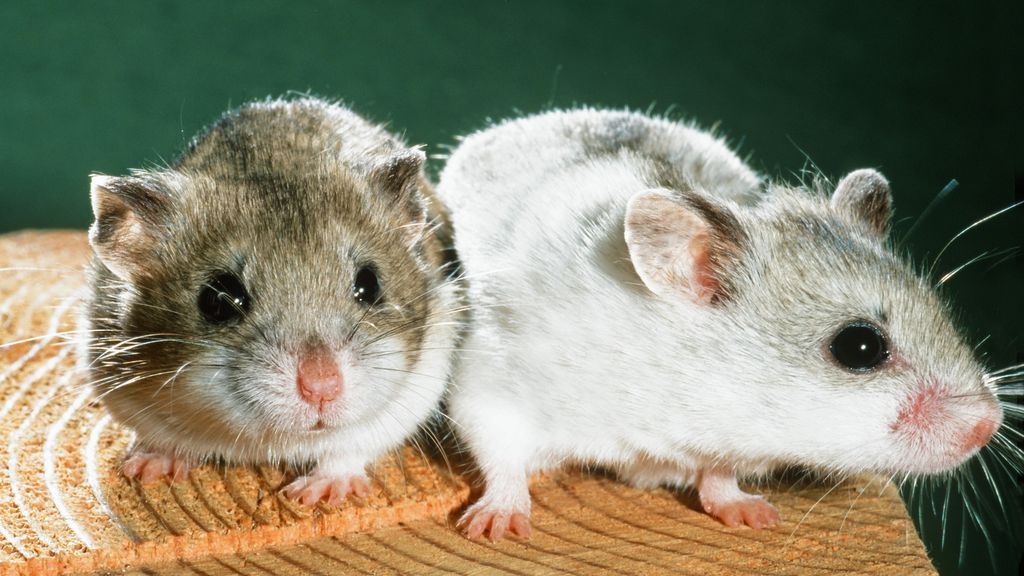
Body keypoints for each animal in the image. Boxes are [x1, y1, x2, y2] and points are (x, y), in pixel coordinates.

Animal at [82, 96, 462, 506]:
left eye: (369, 284)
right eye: (218, 299)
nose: (322, 388)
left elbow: (346, 451)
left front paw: (314, 494)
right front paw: (143, 469)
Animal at [436, 108, 1005, 540]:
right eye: (859, 347)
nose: (987, 426)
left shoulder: (728, 440)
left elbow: (719, 473)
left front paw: (755, 515)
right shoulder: (495, 382)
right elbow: (502, 456)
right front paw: (494, 528)